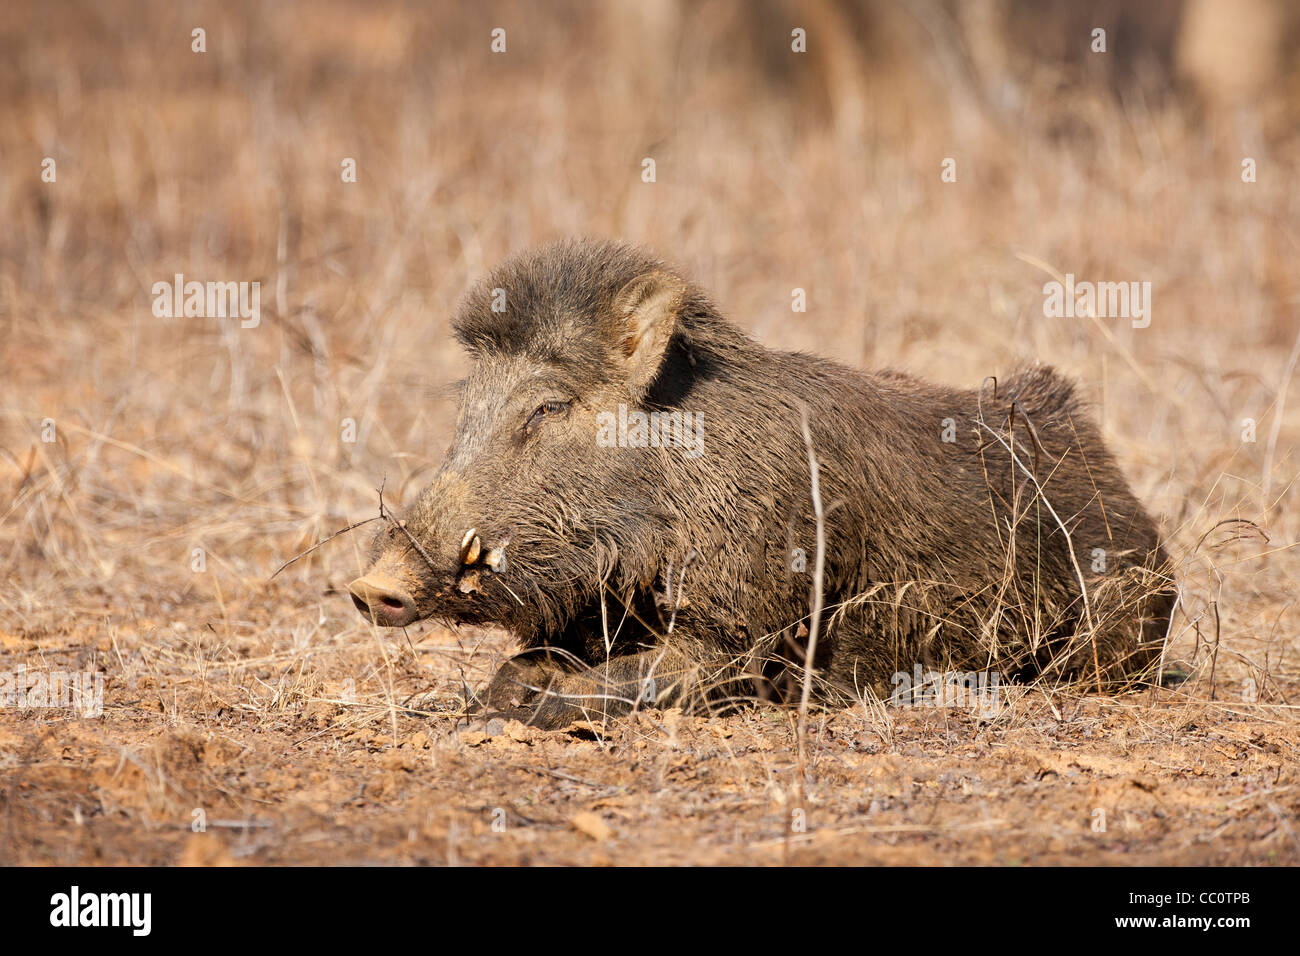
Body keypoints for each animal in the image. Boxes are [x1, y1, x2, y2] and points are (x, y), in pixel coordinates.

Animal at [348, 238, 1175, 728]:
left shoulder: (739, 634)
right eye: (468, 404)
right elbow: (521, 669)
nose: (368, 587)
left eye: (550, 406)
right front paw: (474, 706)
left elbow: (611, 685)